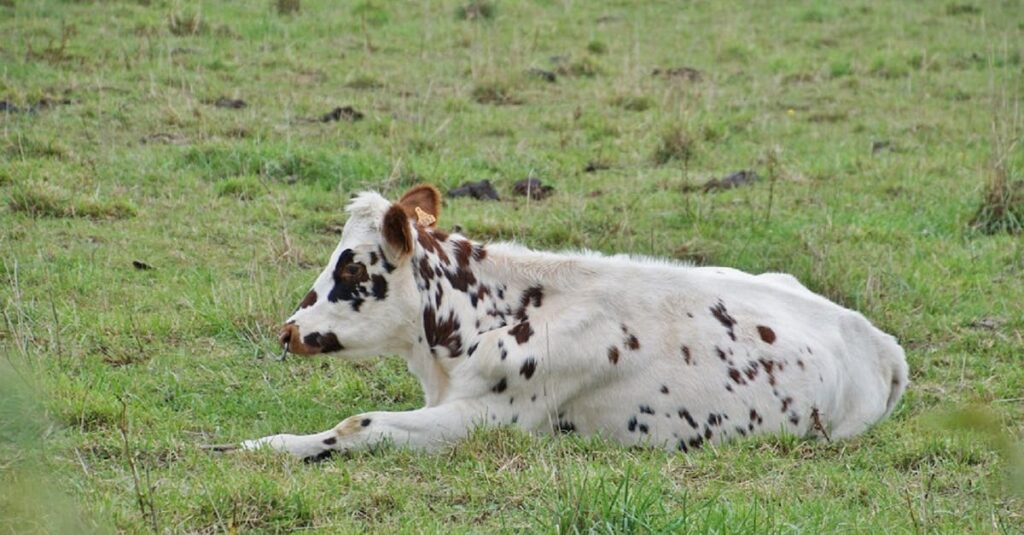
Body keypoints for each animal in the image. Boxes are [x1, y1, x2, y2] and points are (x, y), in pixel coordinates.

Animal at [233, 184, 908, 460]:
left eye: (351, 269)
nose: (288, 330)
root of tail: (878, 339)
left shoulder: (490, 420)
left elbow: (359, 424)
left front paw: (267, 448)